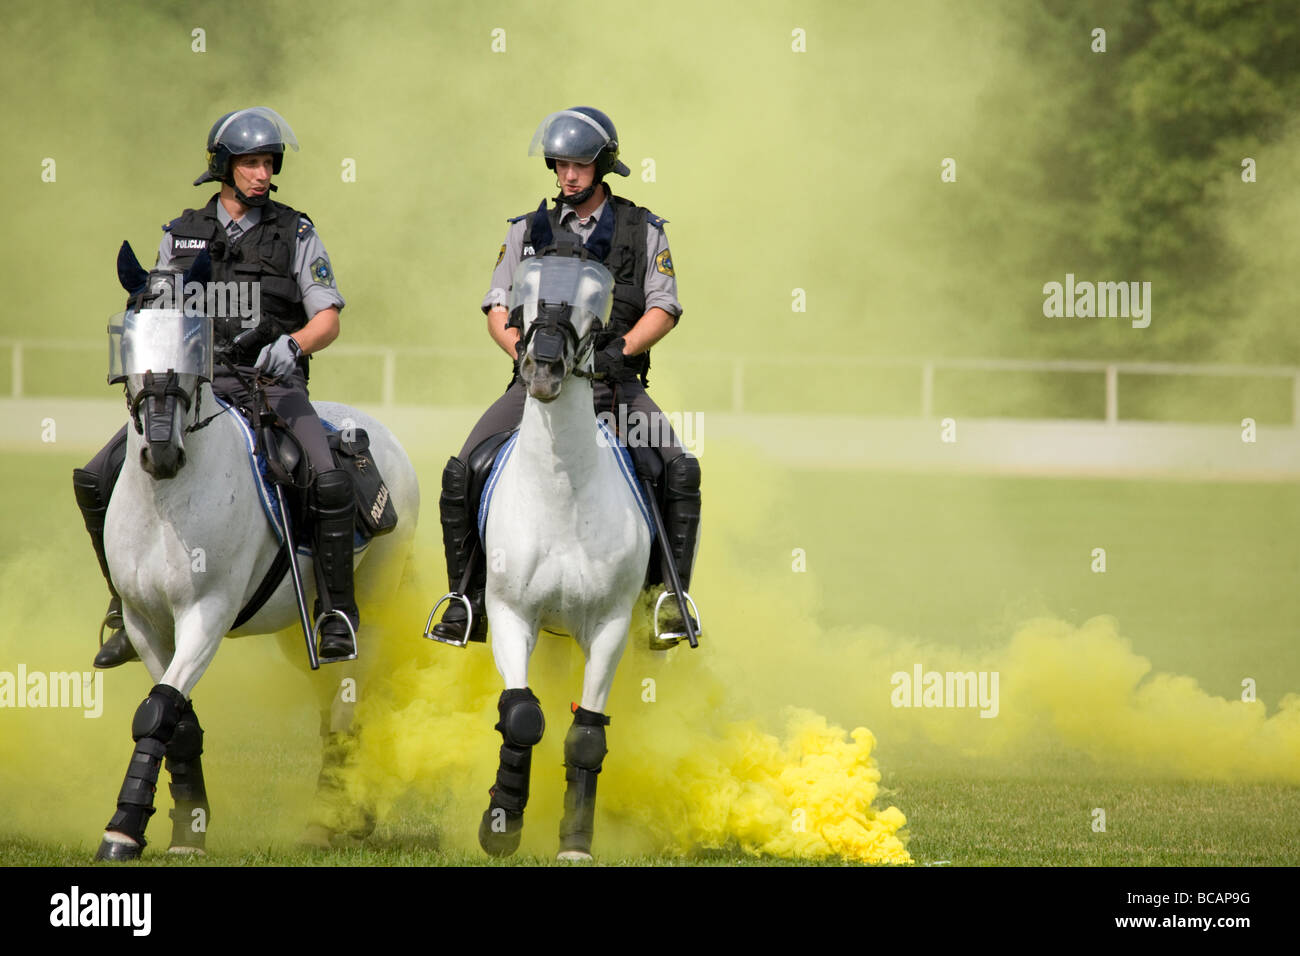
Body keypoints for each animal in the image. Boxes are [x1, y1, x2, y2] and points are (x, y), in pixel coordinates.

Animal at [94, 249, 419, 860]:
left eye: (194, 338)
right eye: (128, 337)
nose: (162, 451)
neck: (166, 503)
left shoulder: (206, 615)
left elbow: (157, 710)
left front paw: (122, 828)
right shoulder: (146, 624)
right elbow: (176, 718)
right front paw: (186, 828)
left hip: (369, 611)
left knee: (349, 703)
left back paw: (328, 820)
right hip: (297, 629)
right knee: (332, 707)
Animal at [468, 254, 652, 861]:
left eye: (596, 306)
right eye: (521, 297)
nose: (544, 369)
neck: (561, 494)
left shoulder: (611, 625)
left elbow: (587, 735)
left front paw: (576, 839)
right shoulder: (510, 613)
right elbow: (523, 715)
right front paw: (501, 822)